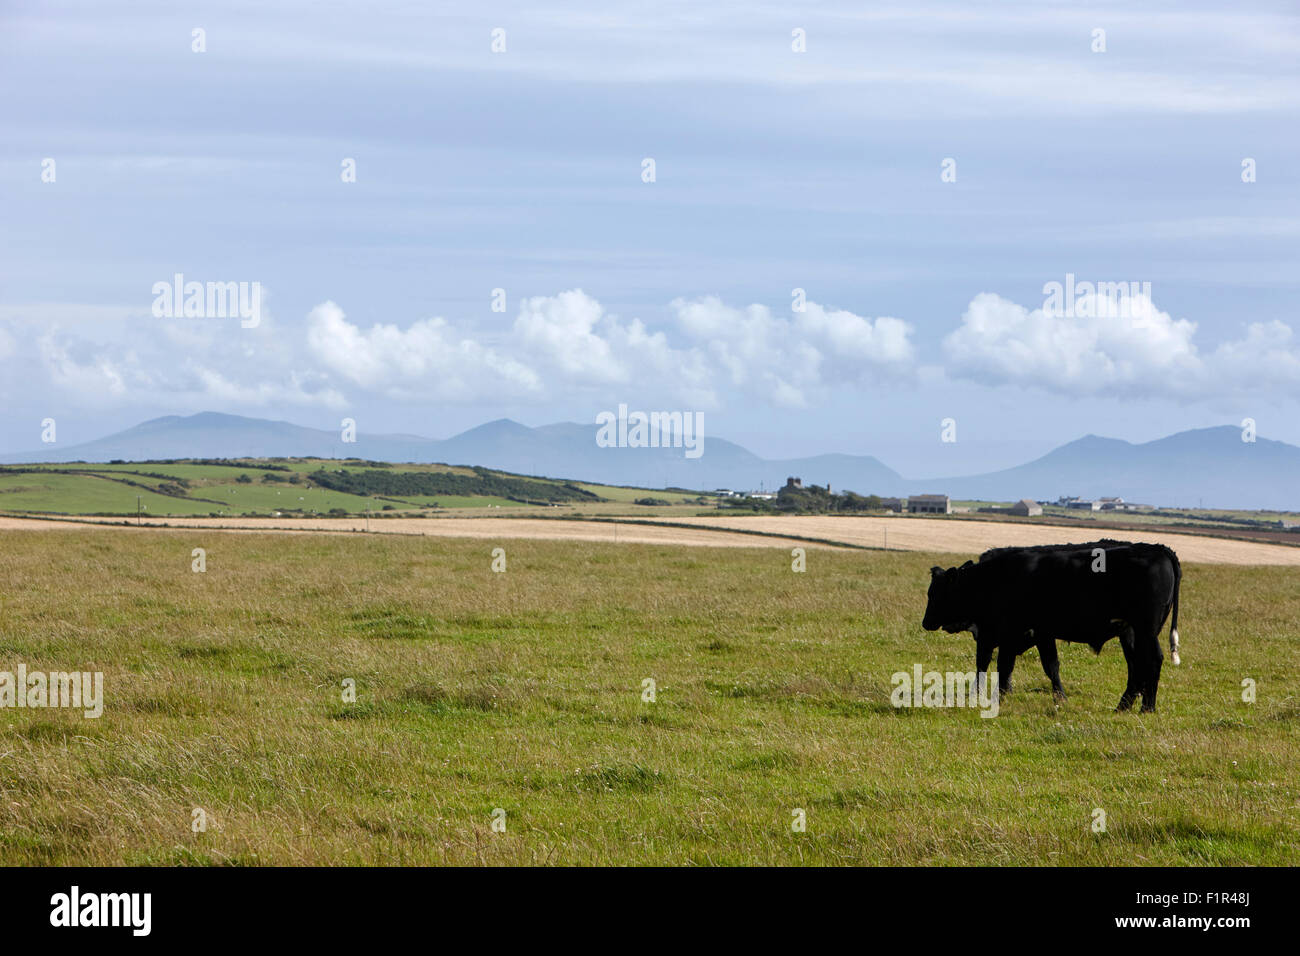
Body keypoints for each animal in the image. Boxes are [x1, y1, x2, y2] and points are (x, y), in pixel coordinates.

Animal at [922, 541, 1181, 712]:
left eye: (935, 593)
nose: (926, 622)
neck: (997, 578)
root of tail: (1158, 549)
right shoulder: (1031, 633)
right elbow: (1029, 666)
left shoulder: (1016, 632)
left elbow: (1017, 666)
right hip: (1133, 632)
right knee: (1137, 665)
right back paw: (1124, 706)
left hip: (1145, 629)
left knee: (1152, 660)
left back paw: (1147, 708)